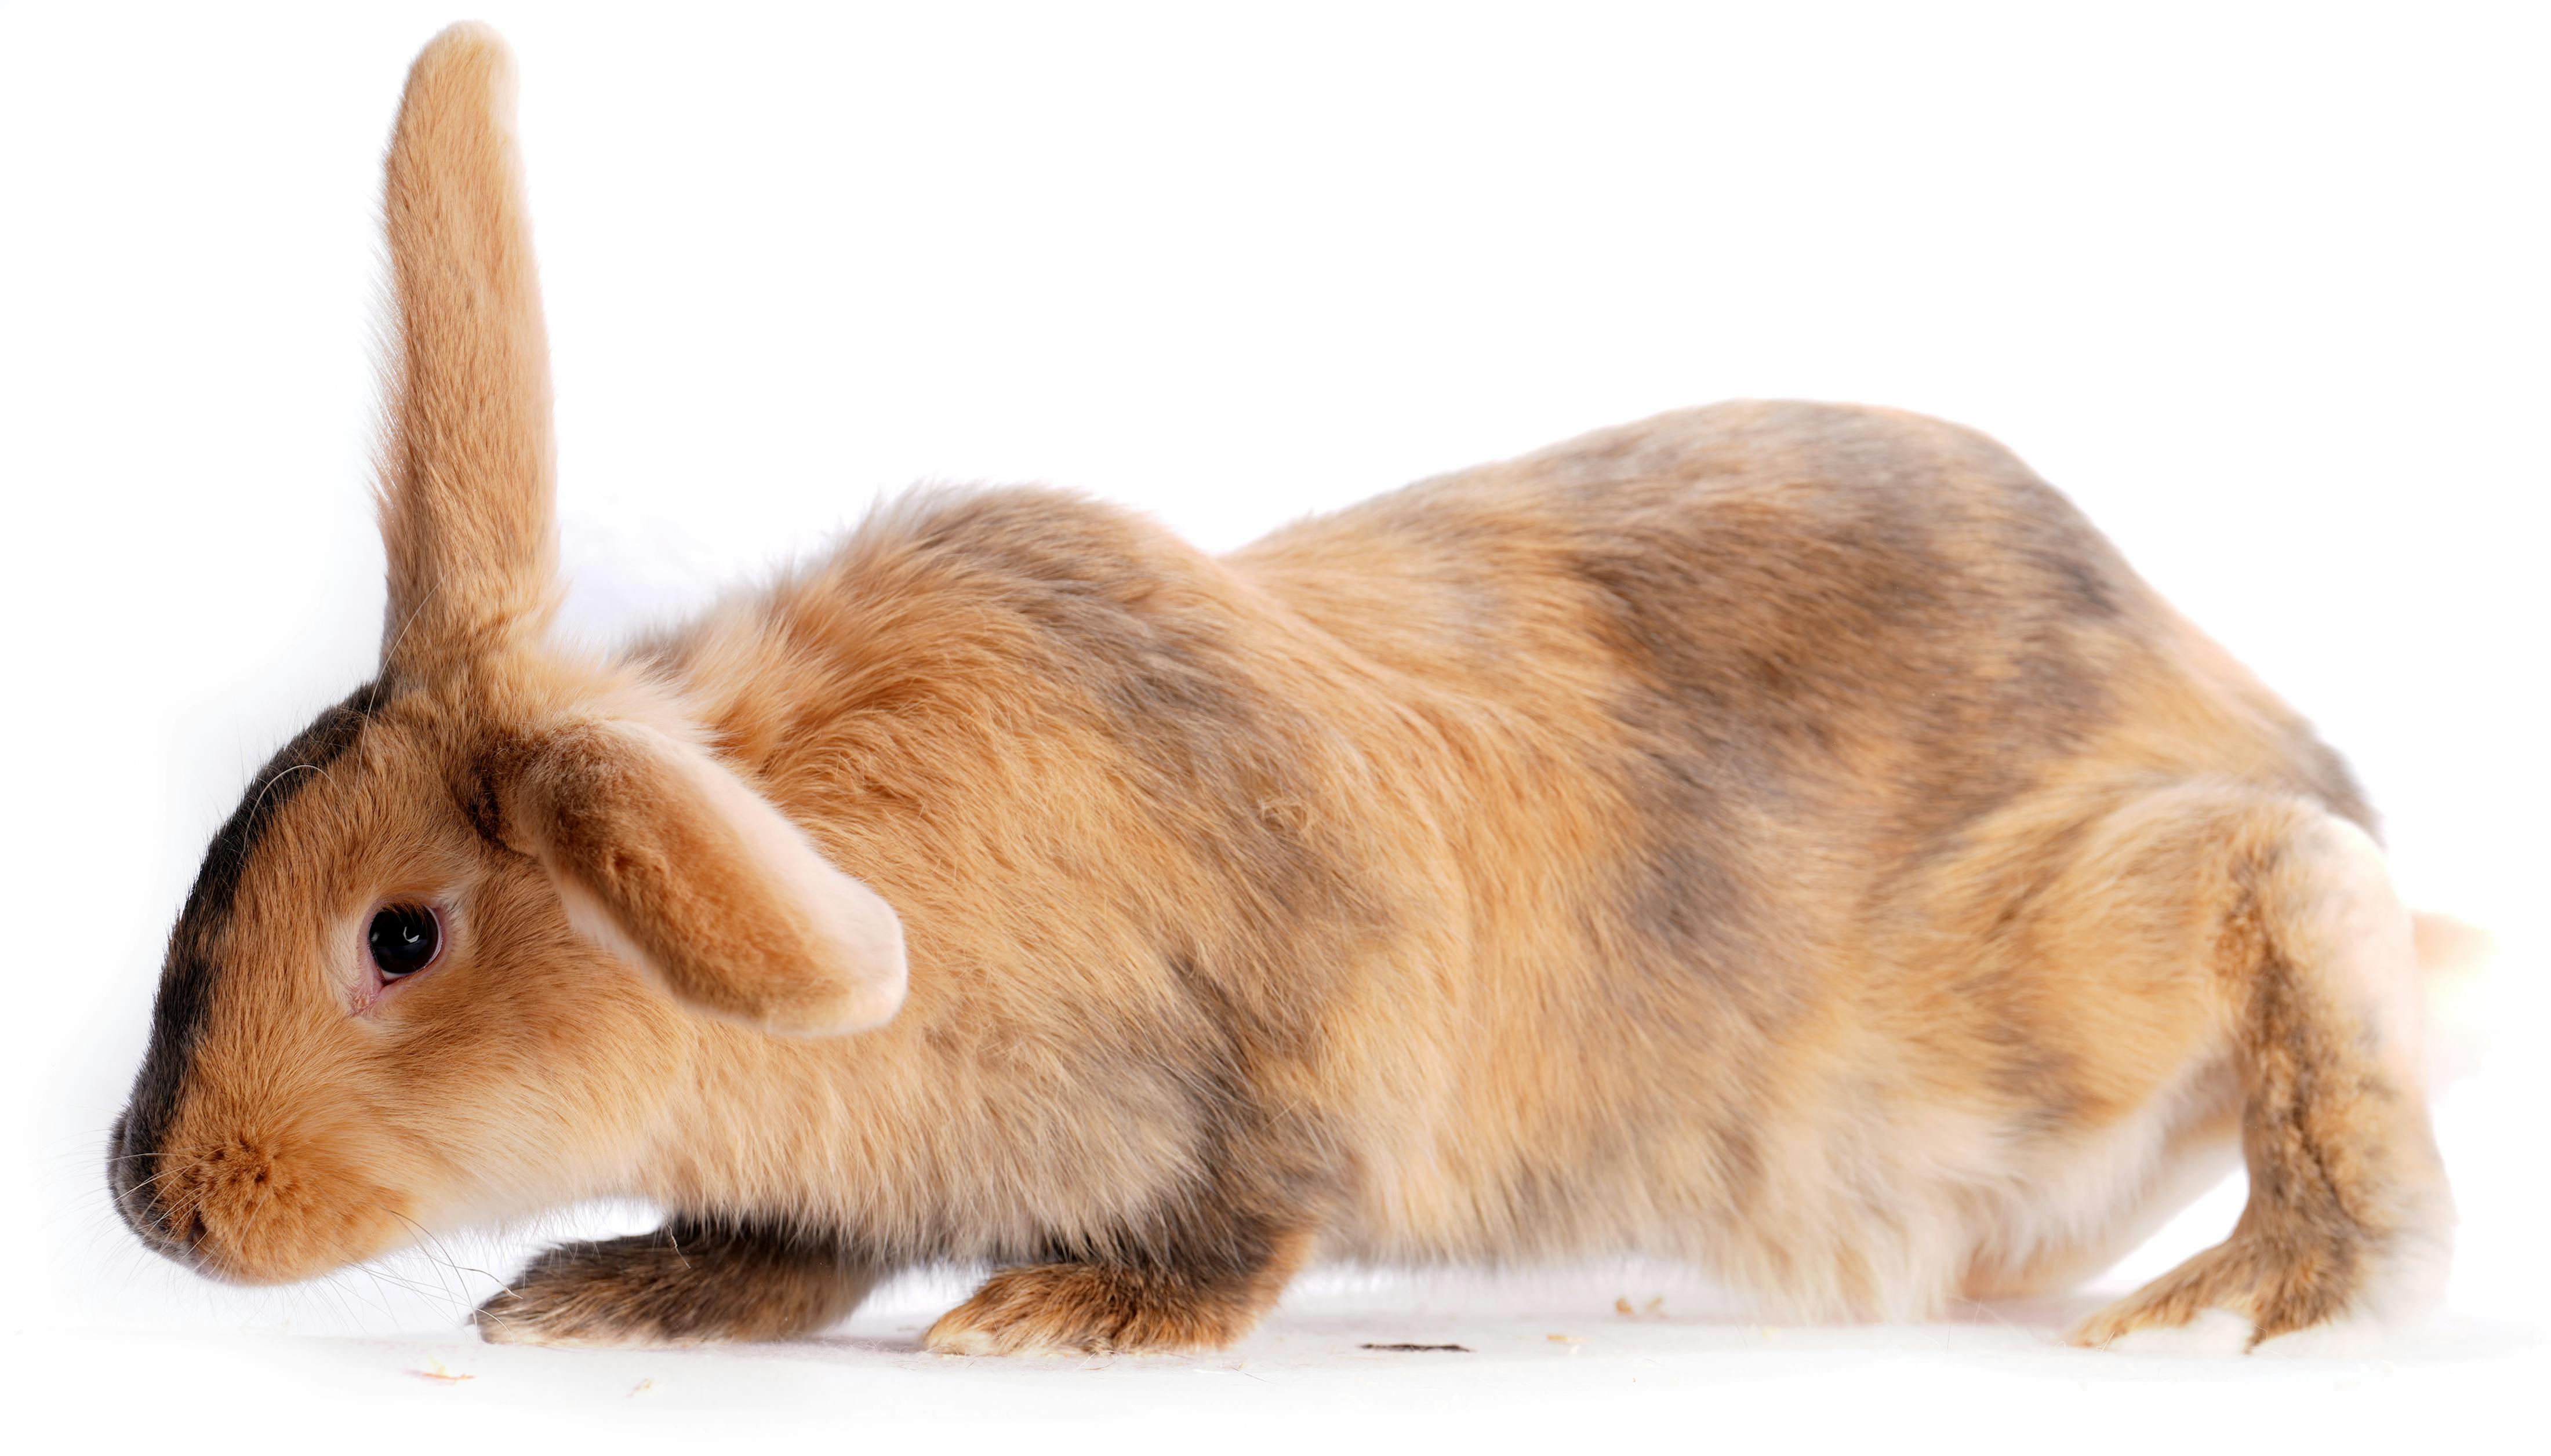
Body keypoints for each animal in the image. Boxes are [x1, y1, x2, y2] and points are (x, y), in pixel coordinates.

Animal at [108, 23, 2453, 1357]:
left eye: (400, 939)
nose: (153, 1206)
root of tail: (2228, 699)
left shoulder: (1294, 1035)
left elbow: (1252, 1215)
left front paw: (1059, 1320)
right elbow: (791, 1232)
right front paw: (618, 1294)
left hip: (2022, 987)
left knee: (2288, 885)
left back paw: (2253, 1301)